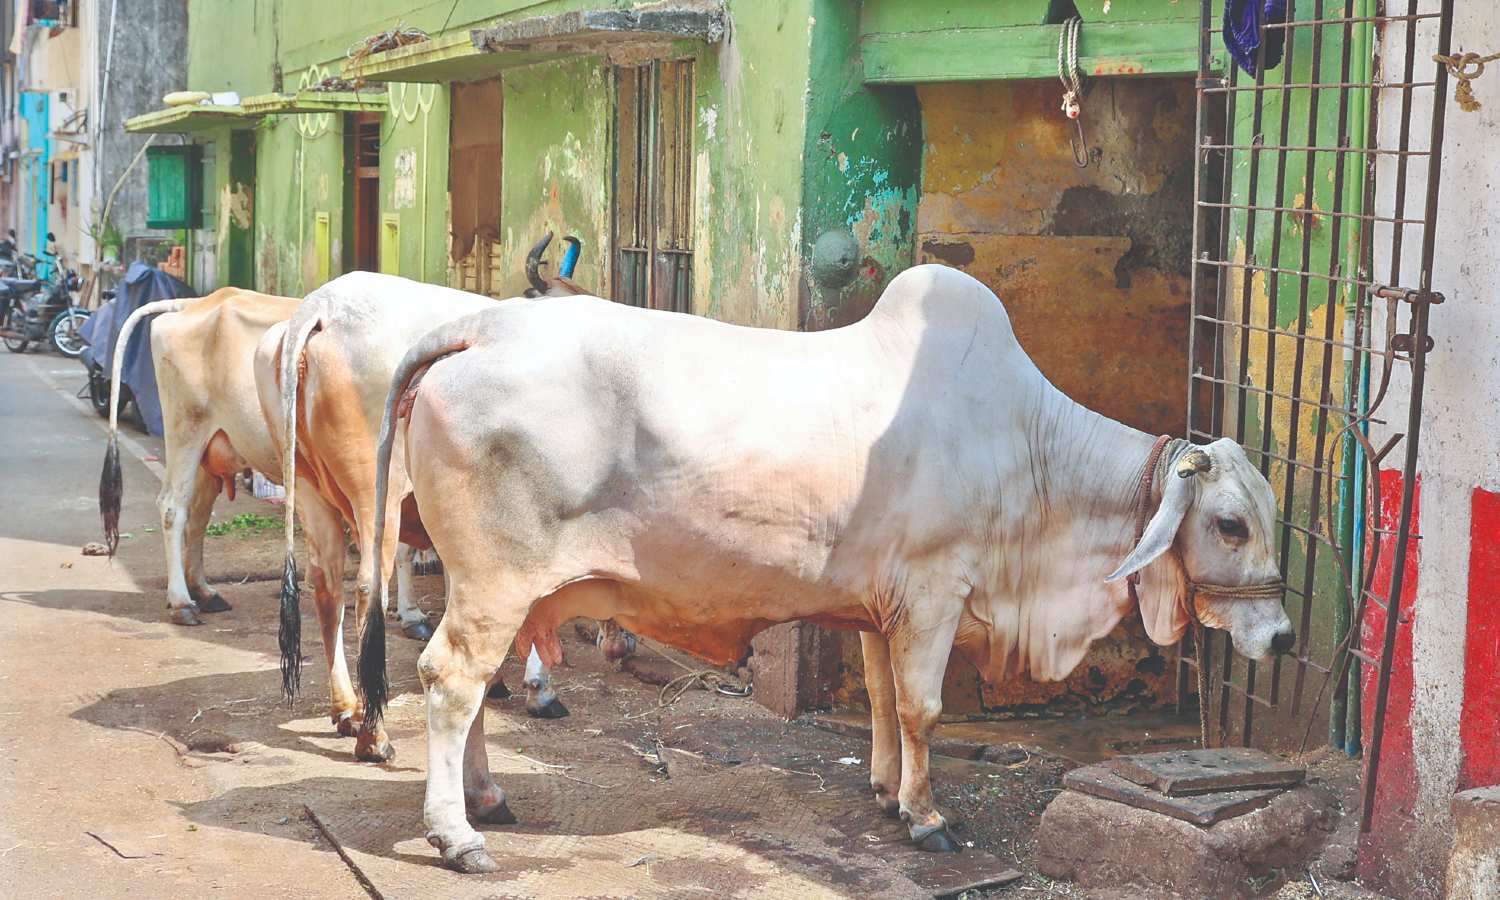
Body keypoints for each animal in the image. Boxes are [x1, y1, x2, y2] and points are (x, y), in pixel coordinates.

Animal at [95, 288, 427, 741]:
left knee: (198, 516)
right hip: (187, 431)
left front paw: (413, 614)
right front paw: (413, 617)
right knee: (172, 507)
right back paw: (182, 601)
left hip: (214, 449)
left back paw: (204, 592)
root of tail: (194, 302)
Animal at [354, 264, 1295, 872]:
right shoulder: (933, 596)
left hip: (492, 587)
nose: (1283, 636)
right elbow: (921, 709)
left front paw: (884, 790)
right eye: (1230, 523)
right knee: (450, 681)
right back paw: (457, 835)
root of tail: (480, 326)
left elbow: (881, 699)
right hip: (496, 582)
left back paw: (487, 799)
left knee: (477, 687)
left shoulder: (885, 610)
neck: (1027, 449)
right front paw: (926, 816)